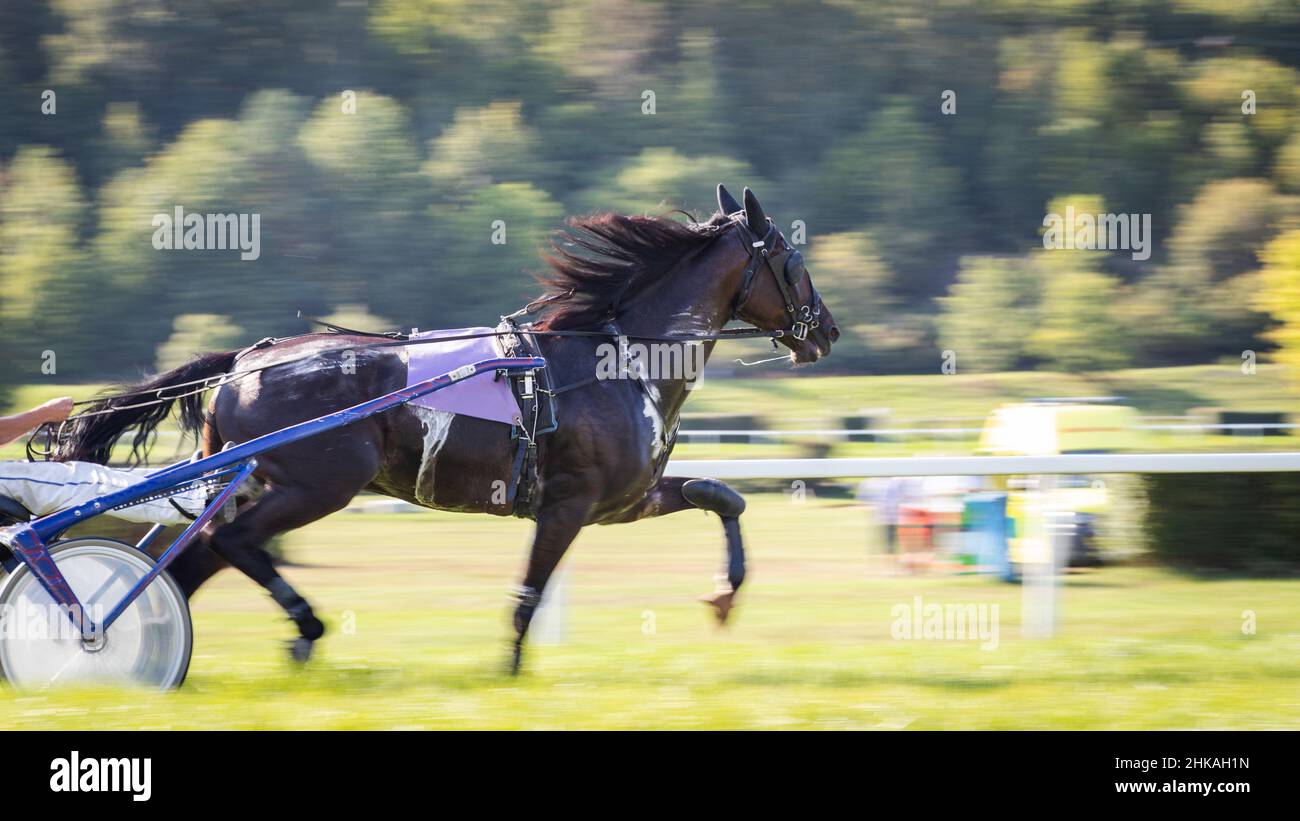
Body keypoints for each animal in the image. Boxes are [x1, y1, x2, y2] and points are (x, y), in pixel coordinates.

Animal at [55, 185, 839, 672]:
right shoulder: (570, 503)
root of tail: (245, 364)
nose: (826, 331)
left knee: (197, 560)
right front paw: (511, 671)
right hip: (318, 484)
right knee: (232, 542)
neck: (620, 362)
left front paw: (724, 594)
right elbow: (528, 594)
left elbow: (723, 496)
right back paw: (301, 628)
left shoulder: (624, 500)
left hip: (256, 480)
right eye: (793, 260)